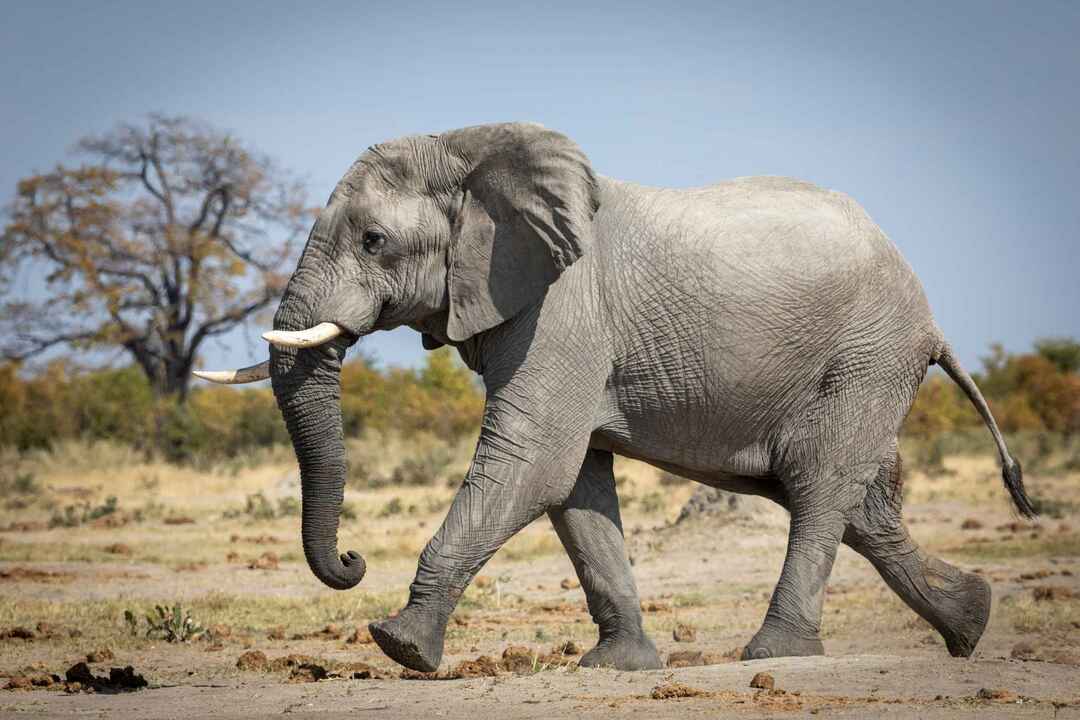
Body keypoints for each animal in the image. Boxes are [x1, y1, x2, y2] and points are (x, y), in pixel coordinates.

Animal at [196, 120, 1036, 673]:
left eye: (374, 242)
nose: (351, 559)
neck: (472, 147)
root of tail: (929, 315)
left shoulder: (561, 309)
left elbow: (533, 460)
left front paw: (400, 646)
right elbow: (576, 485)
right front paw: (618, 666)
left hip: (867, 357)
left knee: (821, 488)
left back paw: (777, 654)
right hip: (860, 368)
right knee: (858, 503)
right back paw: (972, 625)